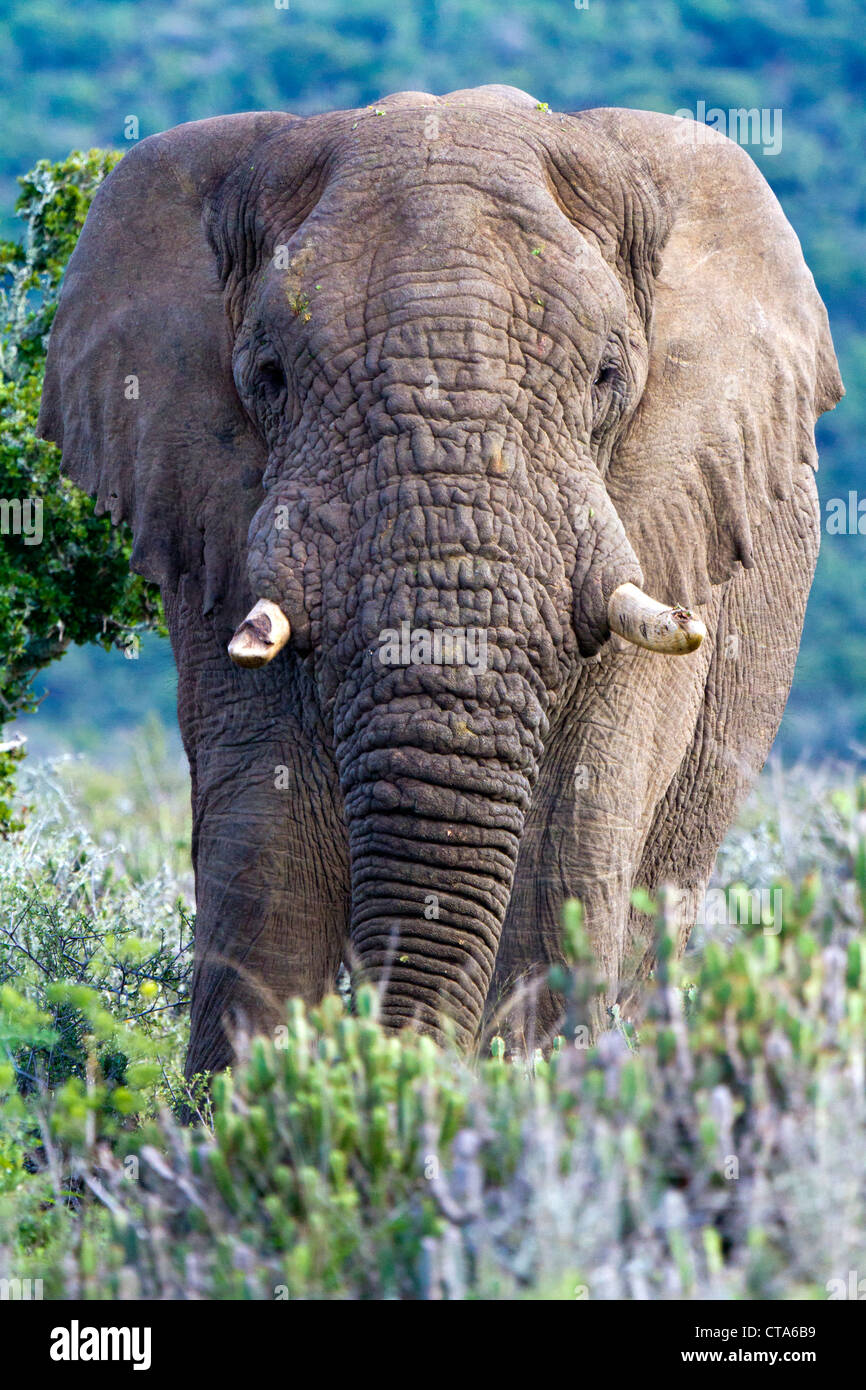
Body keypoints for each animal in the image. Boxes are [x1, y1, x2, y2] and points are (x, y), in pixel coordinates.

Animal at [38, 85, 842, 1077]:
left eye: (608, 377)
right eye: (269, 376)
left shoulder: (661, 517)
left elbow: (566, 840)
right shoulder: (211, 517)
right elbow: (266, 836)